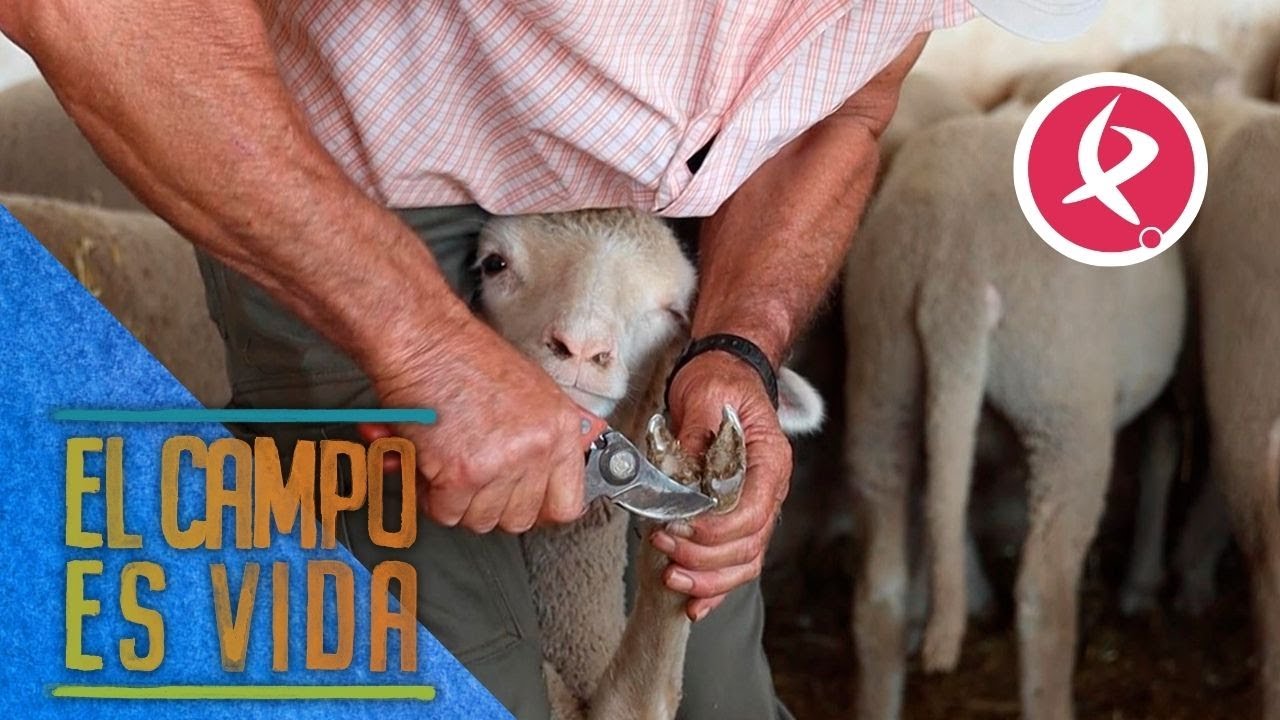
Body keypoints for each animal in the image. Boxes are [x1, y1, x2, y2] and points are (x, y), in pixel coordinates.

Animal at [843, 110, 1186, 720]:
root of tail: (953, 273)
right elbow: (1162, 453)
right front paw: (1143, 583)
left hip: (882, 380)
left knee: (879, 591)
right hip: (1063, 407)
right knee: (1042, 596)